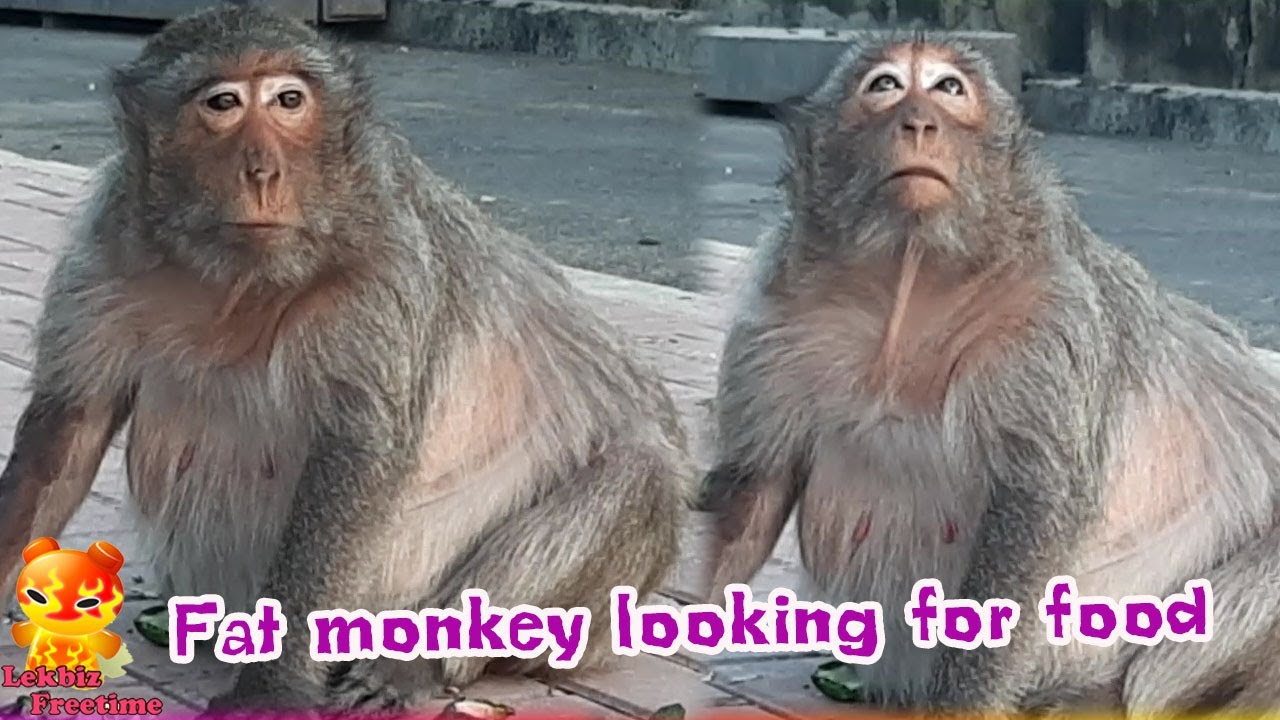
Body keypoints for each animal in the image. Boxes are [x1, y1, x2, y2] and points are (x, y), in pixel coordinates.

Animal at [0, 5, 693, 713]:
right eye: (223, 103)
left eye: (289, 101)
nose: (263, 172)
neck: (238, 280)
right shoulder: (105, 247)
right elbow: (69, 429)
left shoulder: (385, 266)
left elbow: (359, 452)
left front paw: (272, 687)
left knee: (642, 474)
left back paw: (422, 659)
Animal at [697, 35, 1280, 716]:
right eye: (885, 86)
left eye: (948, 89)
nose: (918, 123)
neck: (911, 282)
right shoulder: (774, 314)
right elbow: (756, 490)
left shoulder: (1048, 321)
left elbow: (1037, 503)